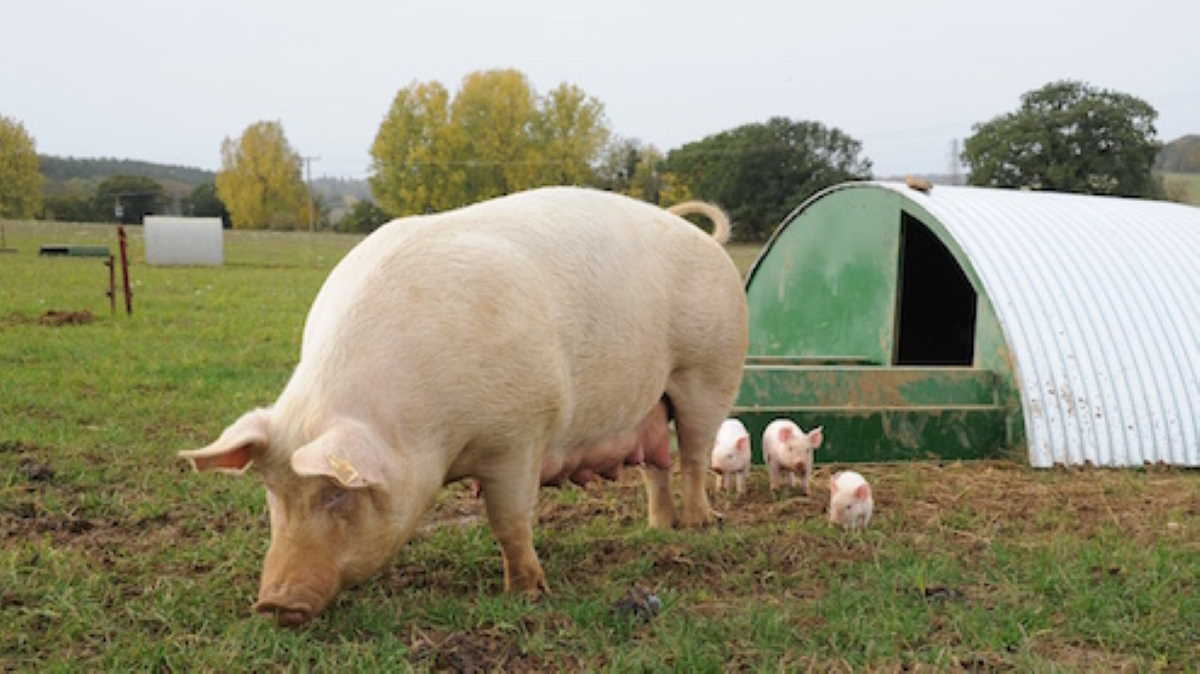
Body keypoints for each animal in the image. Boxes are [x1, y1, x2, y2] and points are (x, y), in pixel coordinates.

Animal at [178, 186, 748, 626]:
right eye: (274, 492)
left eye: (336, 494)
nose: (273, 604)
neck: (427, 432)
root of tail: (709, 240)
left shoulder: (521, 433)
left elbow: (509, 520)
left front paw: (527, 594)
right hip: (652, 401)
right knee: (657, 464)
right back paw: (656, 528)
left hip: (709, 372)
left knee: (693, 454)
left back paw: (700, 524)